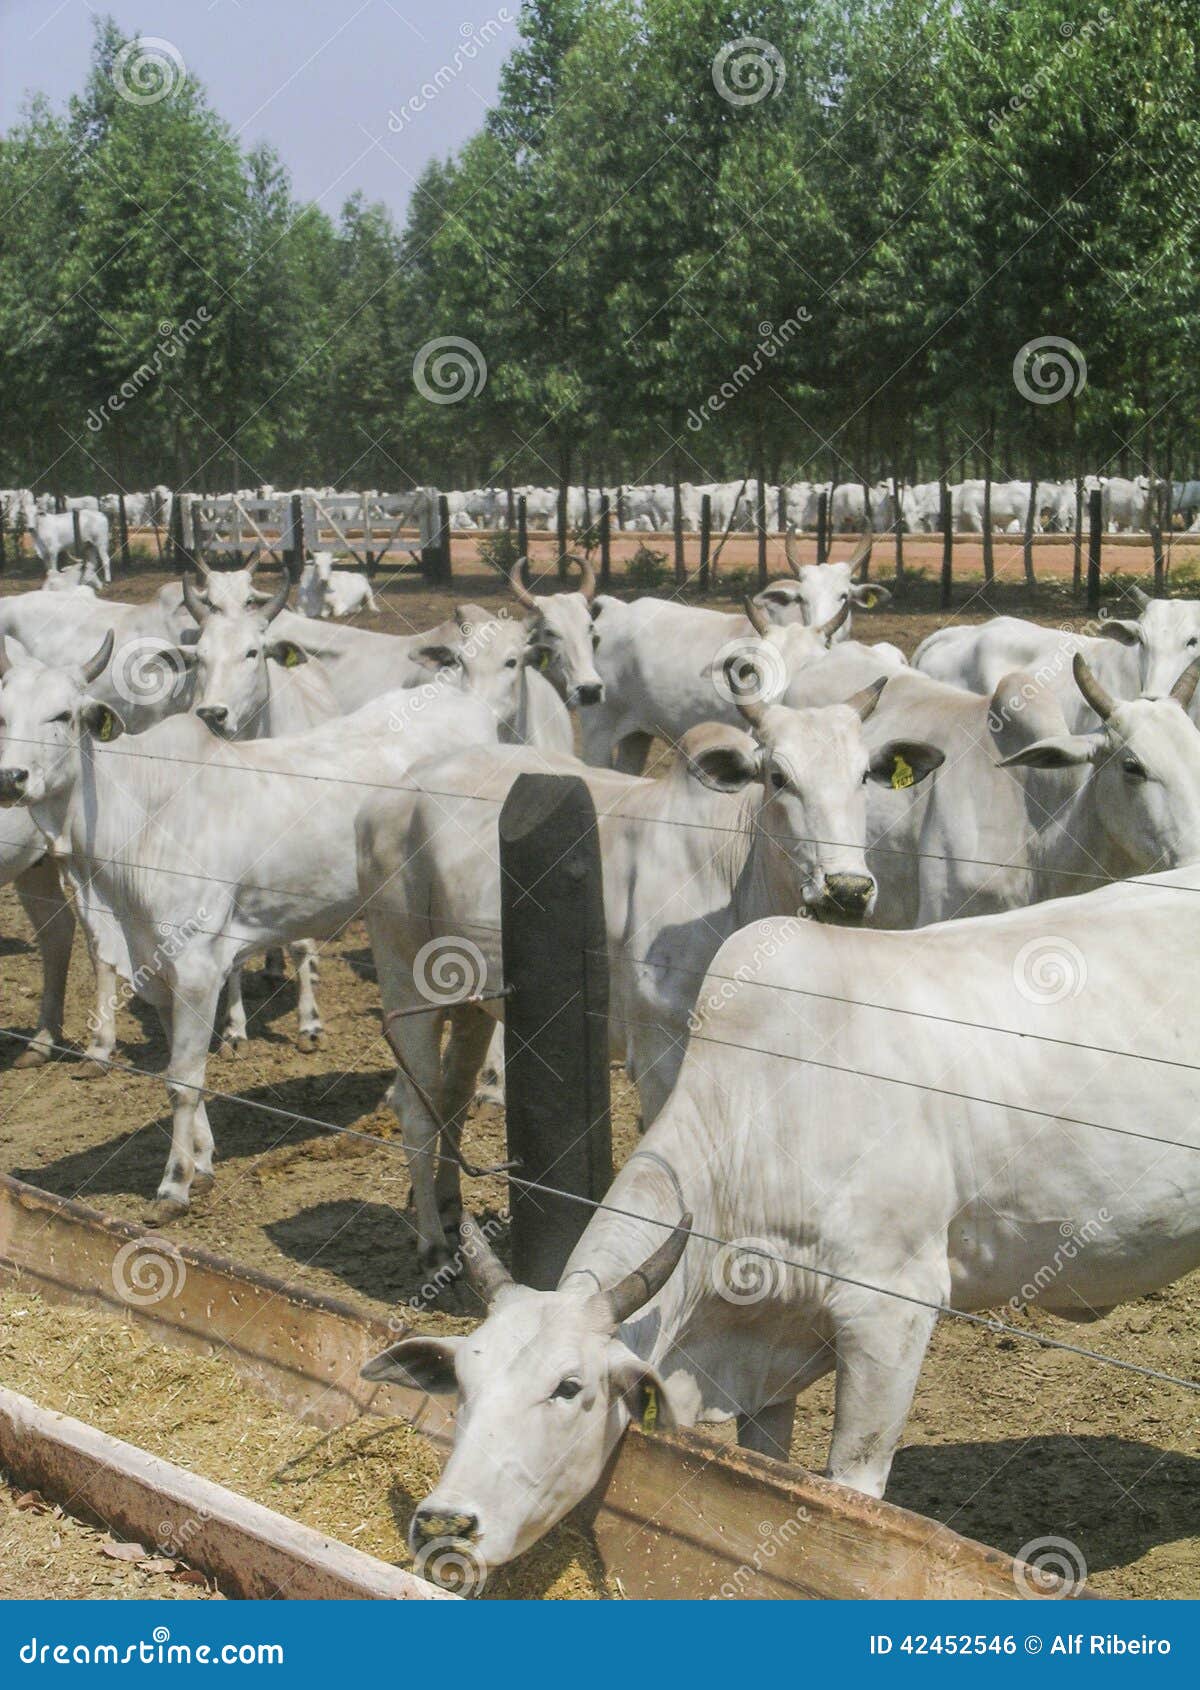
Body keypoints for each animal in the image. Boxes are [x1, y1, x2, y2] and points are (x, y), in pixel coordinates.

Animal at [0, 635, 500, 1220]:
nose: (10, 778)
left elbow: (182, 1080)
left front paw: (173, 1185)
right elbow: (184, 1070)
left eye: (62, 715)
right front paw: (203, 1162)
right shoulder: (159, 969)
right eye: (2, 714)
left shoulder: (196, 967)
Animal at [356, 687, 944, 1264]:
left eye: (863, 775)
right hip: (403, 969)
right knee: (416, 1102)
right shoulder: (661, 1051)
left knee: (453, 1093)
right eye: (779, 777)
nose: (847, 890)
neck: (735, 883)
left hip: (473, 999)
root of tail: (395, 792)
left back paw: (451, 1212)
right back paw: (433, 1244)